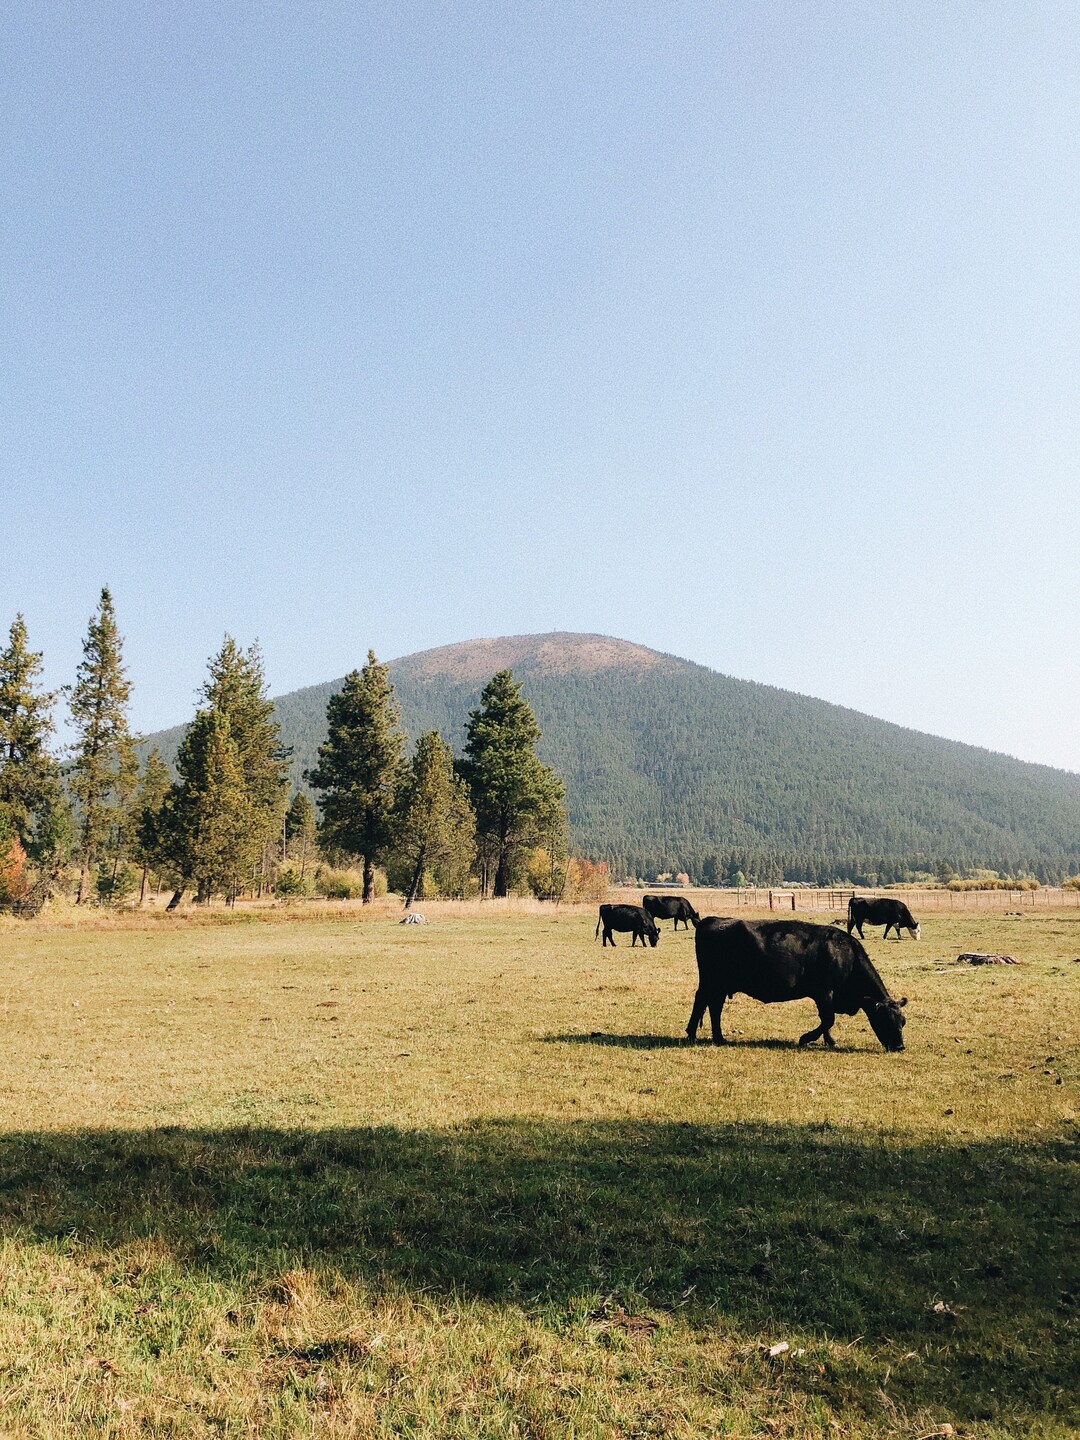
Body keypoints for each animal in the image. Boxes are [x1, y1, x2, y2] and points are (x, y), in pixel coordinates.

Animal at [686, 917, 908, 1051]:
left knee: (708, 1004)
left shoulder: (826, 997)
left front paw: (829, 1041)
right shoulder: (824, 992)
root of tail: (712, 920)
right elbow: (828, 1019)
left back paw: (705, 1035)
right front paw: (806, 1038)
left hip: (718, 984)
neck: (844, 955)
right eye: (886, 1020)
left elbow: (826, 1019)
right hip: (713, 982)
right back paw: (708, 1036)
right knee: (707, 1004)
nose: (900, 1047)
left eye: (903, 1021)